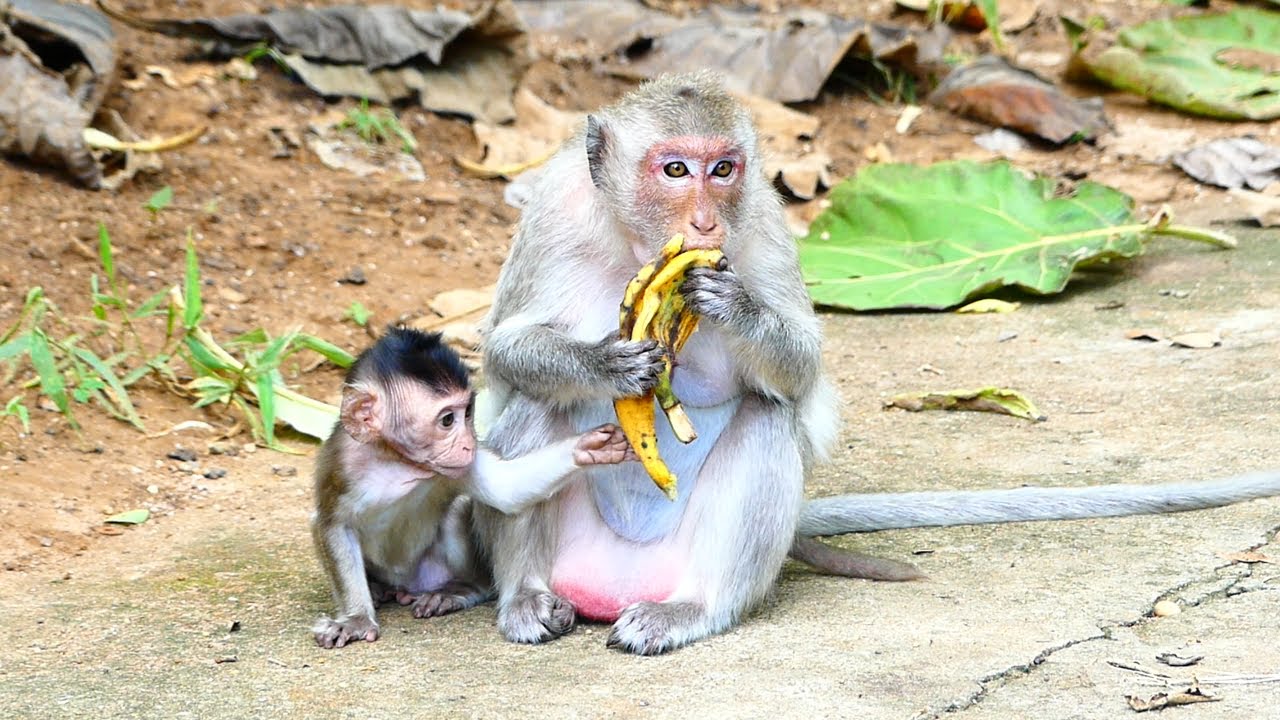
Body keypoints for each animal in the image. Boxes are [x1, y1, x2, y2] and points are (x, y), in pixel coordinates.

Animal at [310, 327, 635, 649]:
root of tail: (405, 585)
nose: (469, 443)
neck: (399, 463)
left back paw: (460, 589)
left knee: (455, 511)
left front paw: (593, 448)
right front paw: (355, 619)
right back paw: (378, 590)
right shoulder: (341, 471)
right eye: (447, 420)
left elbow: (506, 488)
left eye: (467, 413)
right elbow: (330, 525)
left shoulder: (457, 469)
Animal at [473, 71, 1280, 656]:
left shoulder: (761, 221)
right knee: (537, 408)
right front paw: (611, 364)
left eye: (723, 169)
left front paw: (730, 303)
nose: (703, 221)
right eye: (674, 169)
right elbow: (505, 352)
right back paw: (528, 596)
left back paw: (693, 610)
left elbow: (798, 376)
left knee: (766, 419)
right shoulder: (553, 210)